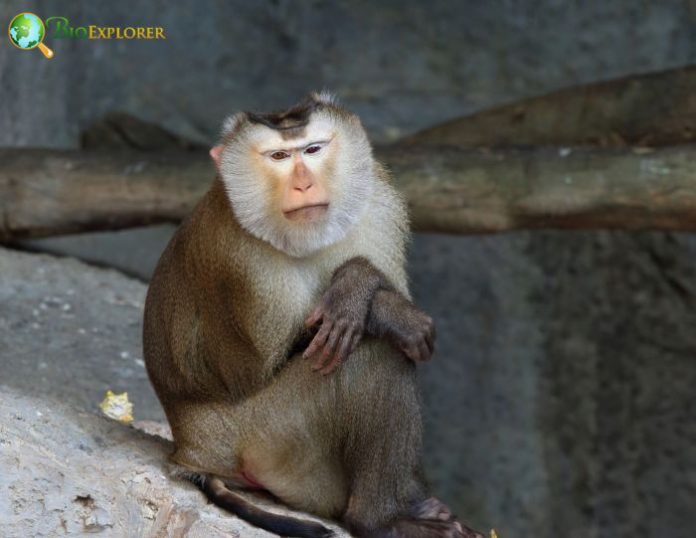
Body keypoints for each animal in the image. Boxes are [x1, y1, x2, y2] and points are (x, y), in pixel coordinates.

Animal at [143, 92, 482, 538]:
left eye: (313, 149)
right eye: (279, 156)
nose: (303, 183)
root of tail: (192, 452)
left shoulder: (380, 206)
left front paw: (357, 284)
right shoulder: (242, 264)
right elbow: (251, 374)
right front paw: (377, 305)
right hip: (273, 443)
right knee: (374, 357)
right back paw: (378, 520)